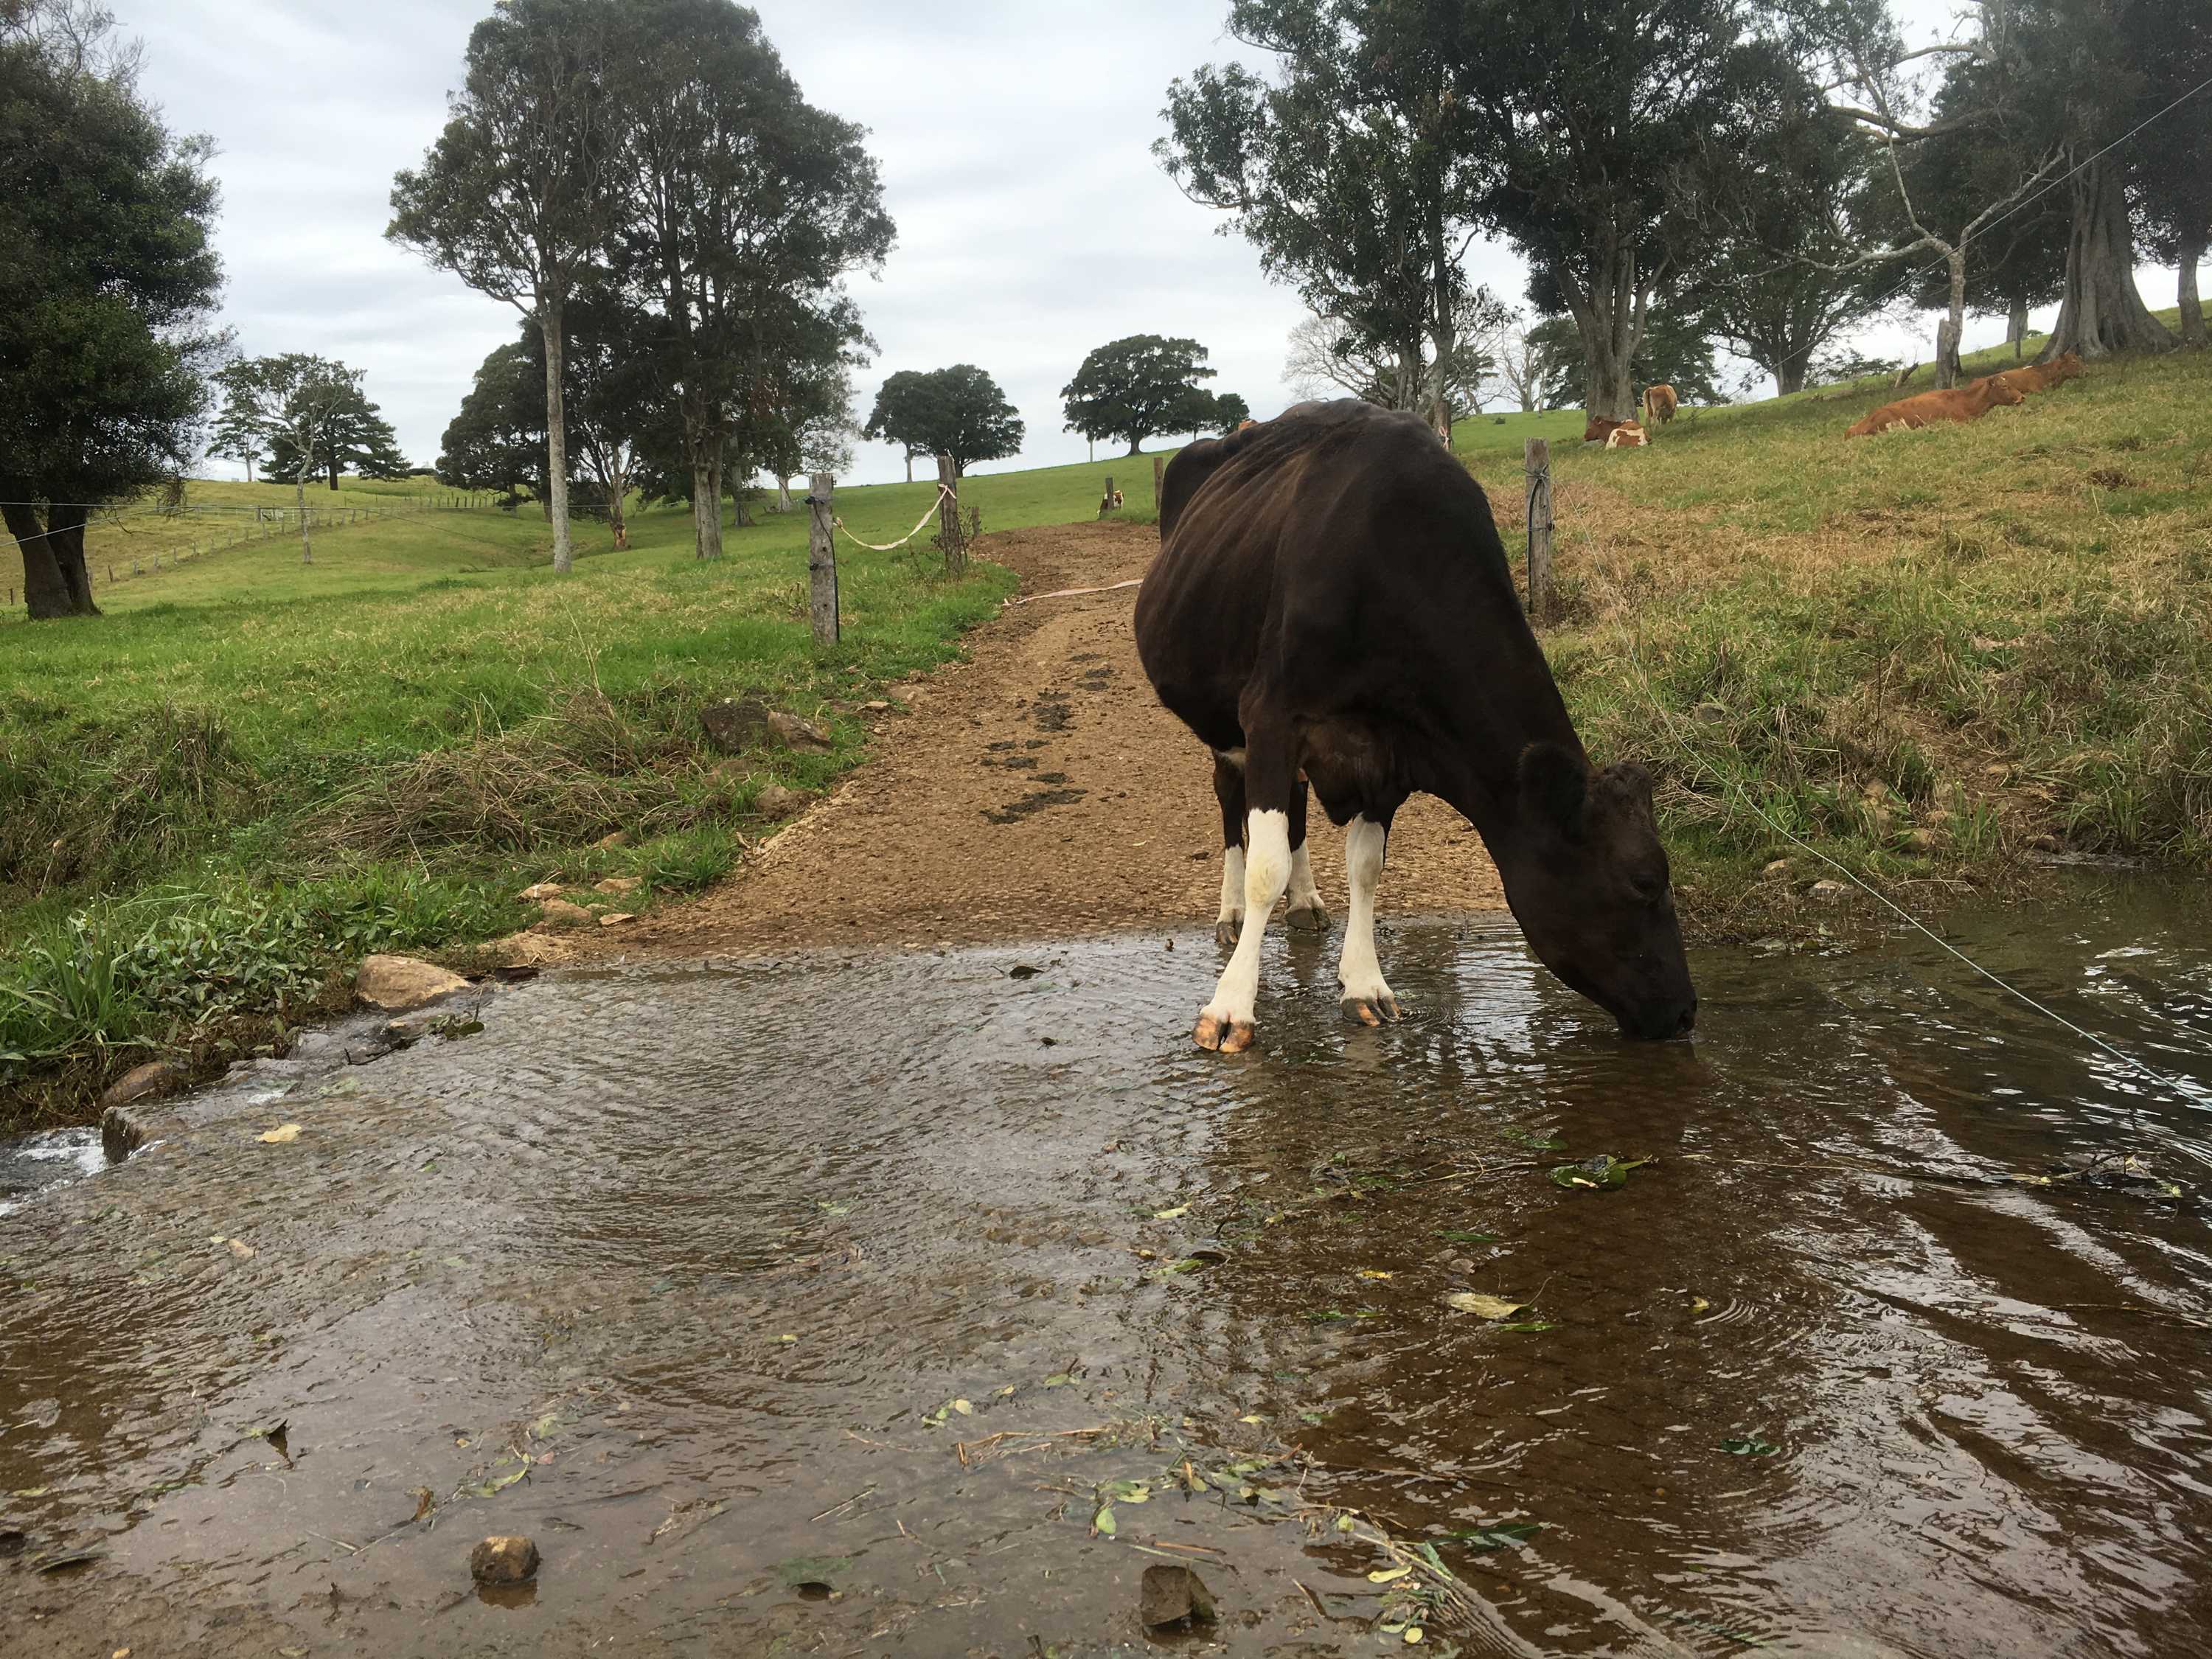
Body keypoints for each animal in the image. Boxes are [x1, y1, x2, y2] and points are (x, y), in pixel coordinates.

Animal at [1133, 400, 1697, 1052]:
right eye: (1645, 881)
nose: (1686, 1011)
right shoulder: (1272, 712)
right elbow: (1264, 869)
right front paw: (1230, 1008)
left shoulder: (1395, 752)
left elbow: (1366, 867)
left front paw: (1364, 984)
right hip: (1223, 719)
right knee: (1230, 802)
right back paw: (1229, 914)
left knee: (1295, 805)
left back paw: (1306, 900)